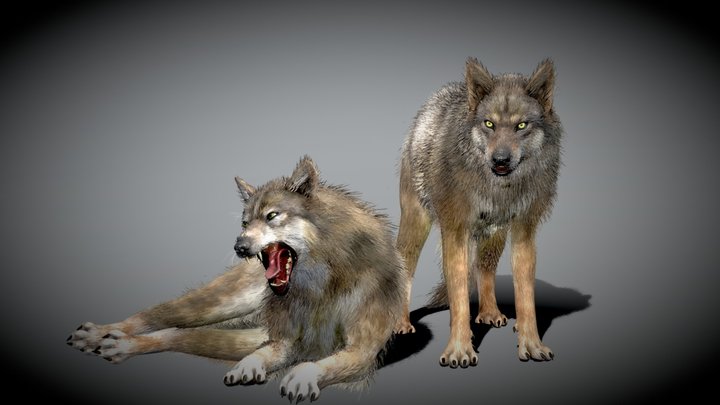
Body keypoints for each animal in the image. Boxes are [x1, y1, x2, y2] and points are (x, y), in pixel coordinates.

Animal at [67, 156, 408, 402]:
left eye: (272, 216)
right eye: (245, 222)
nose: (239, 246)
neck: (319, 287)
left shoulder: (361, 351)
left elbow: (318, 363)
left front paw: (301, 376)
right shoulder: (283, 340)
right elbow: (262, 353)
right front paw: (249, 366)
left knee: (177, 333)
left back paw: (116, 343)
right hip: (217, 303)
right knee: (157, 316)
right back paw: (102, 336)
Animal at [394, 58, 563, 367]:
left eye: (521, 125)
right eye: (489, 124)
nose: (500, 160)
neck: (499, 189)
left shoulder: (524, 231)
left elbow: (526, 296)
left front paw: (531, 345)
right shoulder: (455, 230)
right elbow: (459, 296)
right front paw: (459, 350)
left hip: (495, 235)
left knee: (485, 269)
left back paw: (490, 314)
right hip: (416, 225)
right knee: (406, 266)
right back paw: (400, 323)